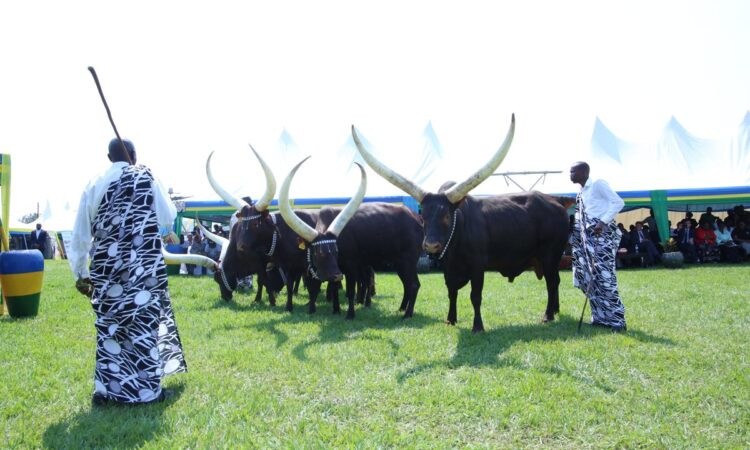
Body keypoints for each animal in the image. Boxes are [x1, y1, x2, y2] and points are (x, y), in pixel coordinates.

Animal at [279, 158, 423, 320]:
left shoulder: (351, 267)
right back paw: (401, 308)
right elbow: (334, 289)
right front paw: (336, 310)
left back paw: (407, 314)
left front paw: (350, 314)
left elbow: (350, 292)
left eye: (336, 251)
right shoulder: (337, 269)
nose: (336, 275)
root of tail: (416, 218)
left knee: (413, 284)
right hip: (398, 262)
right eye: (318, 253)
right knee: (407, 284)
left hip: (408, 261)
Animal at [352, 115, 574, 332]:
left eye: (446, 216)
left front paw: (477, 327)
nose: (431, 245)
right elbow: (452, 293)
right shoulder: (449, 269)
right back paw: (555, 311)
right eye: (423, 215)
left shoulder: (478, 267)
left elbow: (475, 296)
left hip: (551, 254)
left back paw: (548, 315)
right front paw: (450, 319)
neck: (456, 240)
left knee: (552, 282)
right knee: (554, 281)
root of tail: (556, 200)